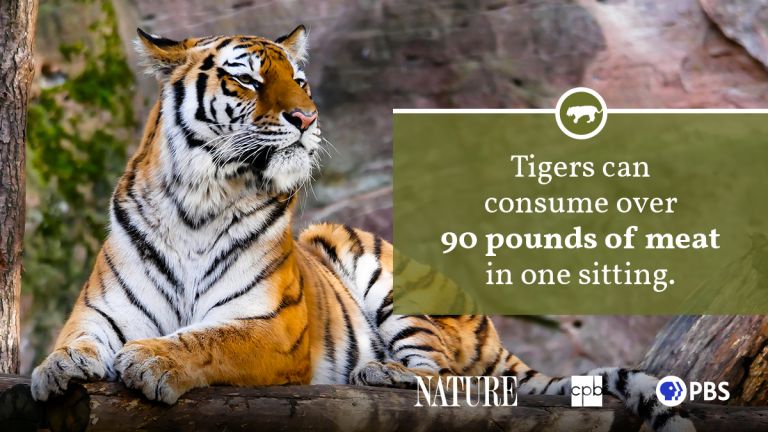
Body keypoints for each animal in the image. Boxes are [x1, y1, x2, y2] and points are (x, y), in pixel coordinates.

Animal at [29, 25, 694, 432]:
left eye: (299, 81)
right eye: (247, 79)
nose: (306, 117)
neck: (201, 200)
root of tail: (491, 329)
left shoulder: (271, 328)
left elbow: (208, 339)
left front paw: (152, 362)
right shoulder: (99, 310)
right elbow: (73, 341)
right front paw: (56, 371)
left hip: (381, 272)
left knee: (451, 377)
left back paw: (382, 371)